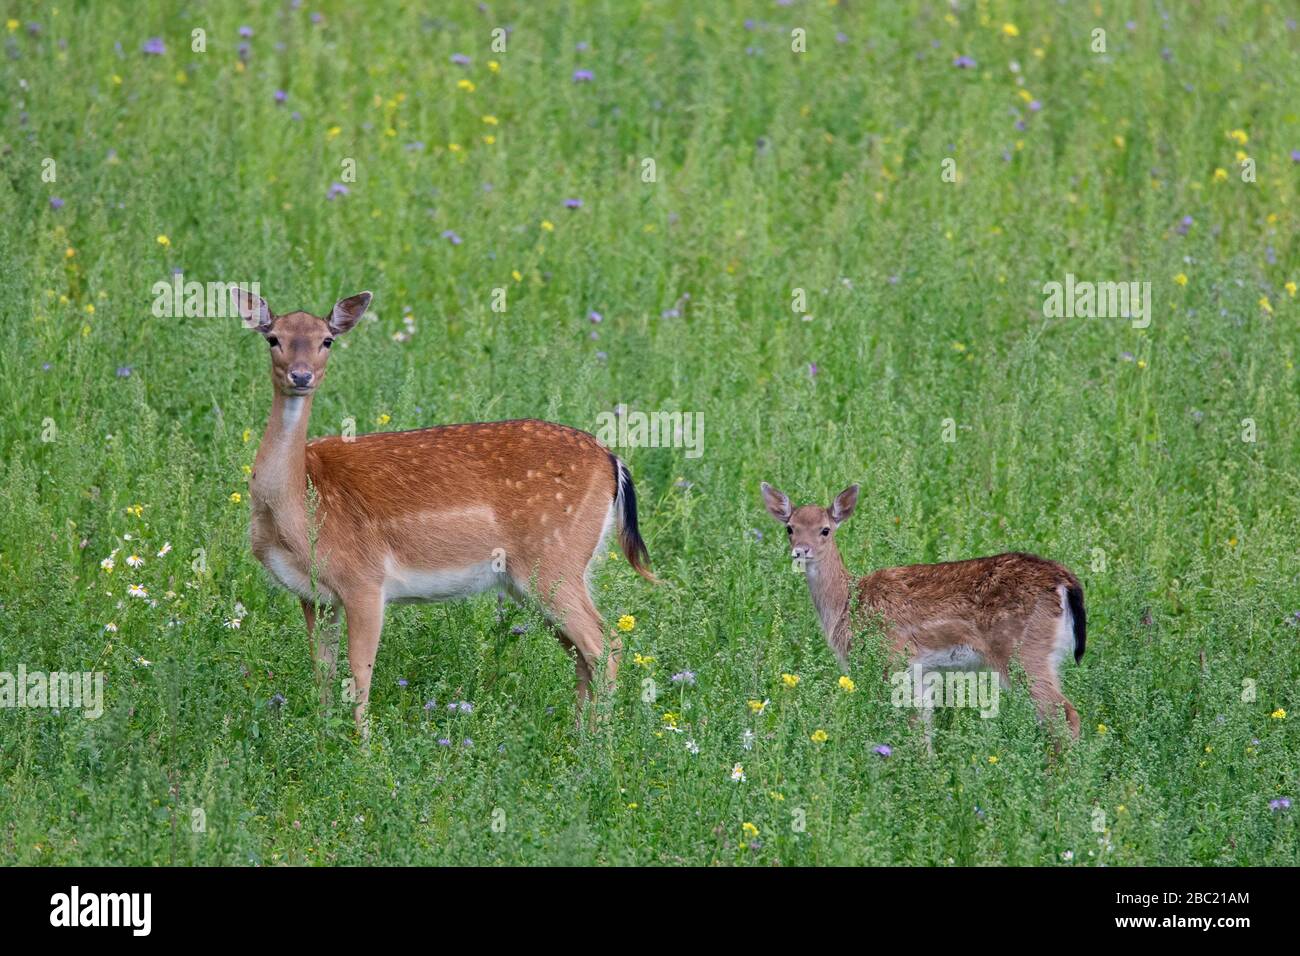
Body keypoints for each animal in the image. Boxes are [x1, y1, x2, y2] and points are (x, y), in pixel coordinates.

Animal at [232, 287, 654, 735]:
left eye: (326, 340)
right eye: (273, 338)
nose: (301, 376)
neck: (298, 512)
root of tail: (613, 461)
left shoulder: (364, 579)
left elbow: (360, 671)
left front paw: (362, 744)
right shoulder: (314, 596)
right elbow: (323, 672)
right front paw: (323, 734)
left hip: (553, 560)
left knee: (604, 643)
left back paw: (596, 742)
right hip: (543, 577)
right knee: (581, 651)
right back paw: (576, 735)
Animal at [760, 482, 1086, 741]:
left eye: (825, 530)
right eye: (790, 528)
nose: (800, 550)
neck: (845, 604)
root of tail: (1064, 580)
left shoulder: (890, 658)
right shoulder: (921, 669)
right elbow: (923, 724)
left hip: (1022, 651)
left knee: (1064, 715)